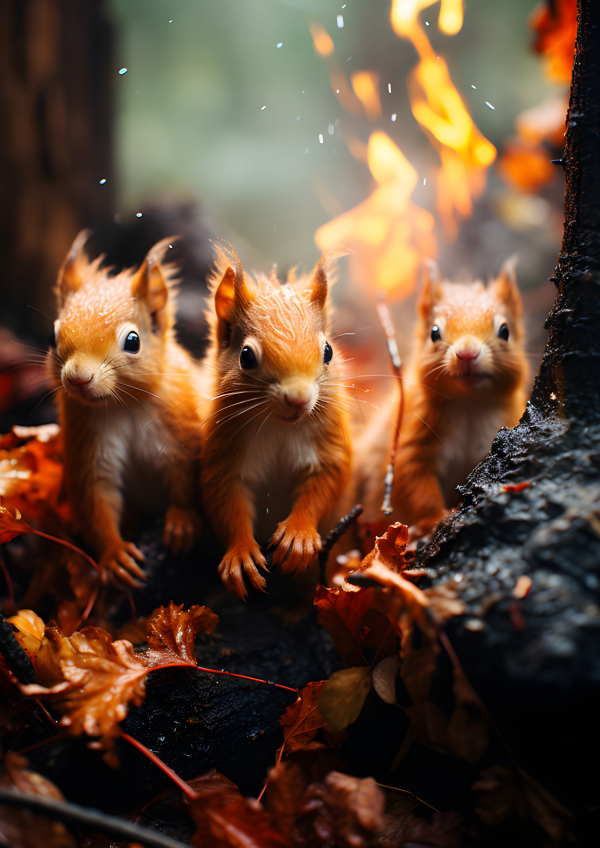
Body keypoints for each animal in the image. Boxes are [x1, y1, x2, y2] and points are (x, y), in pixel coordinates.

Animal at [47, 230, 203, 588]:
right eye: (52, 335)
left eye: (133, 341)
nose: (78, 378)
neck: (123, 406)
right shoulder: (89, 445)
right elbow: (96, 499)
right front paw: (115, 553)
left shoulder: (180, 433)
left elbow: (184, 478)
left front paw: (181, 521)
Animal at [200, 244, 352, 598]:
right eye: (246, 356)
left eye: (328, 351)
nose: (298, 399)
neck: (281, 427)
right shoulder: (224, 453)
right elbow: (225, 500)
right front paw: (241, 554)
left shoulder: (328, 446)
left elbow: (324, 485)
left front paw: (298, 535)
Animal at [349, 257, 528, 543]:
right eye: (434, 332)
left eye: (505, 331)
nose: (467, 354)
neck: (469, 404)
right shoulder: (412, 436)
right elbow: (414, 481)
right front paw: (436, 520)